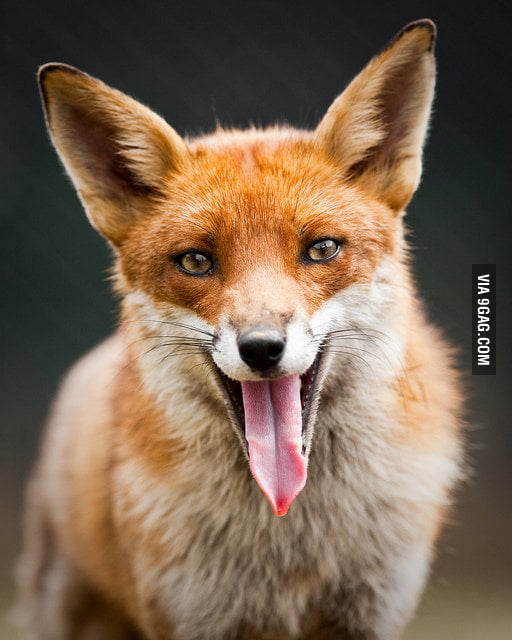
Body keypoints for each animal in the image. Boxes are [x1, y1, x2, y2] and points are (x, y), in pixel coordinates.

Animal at [16, 18, 463, 640]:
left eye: (321, 249)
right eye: (196, 261)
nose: (262, 348)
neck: (287, 538)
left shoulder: (372, 613)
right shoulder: (193, 616)